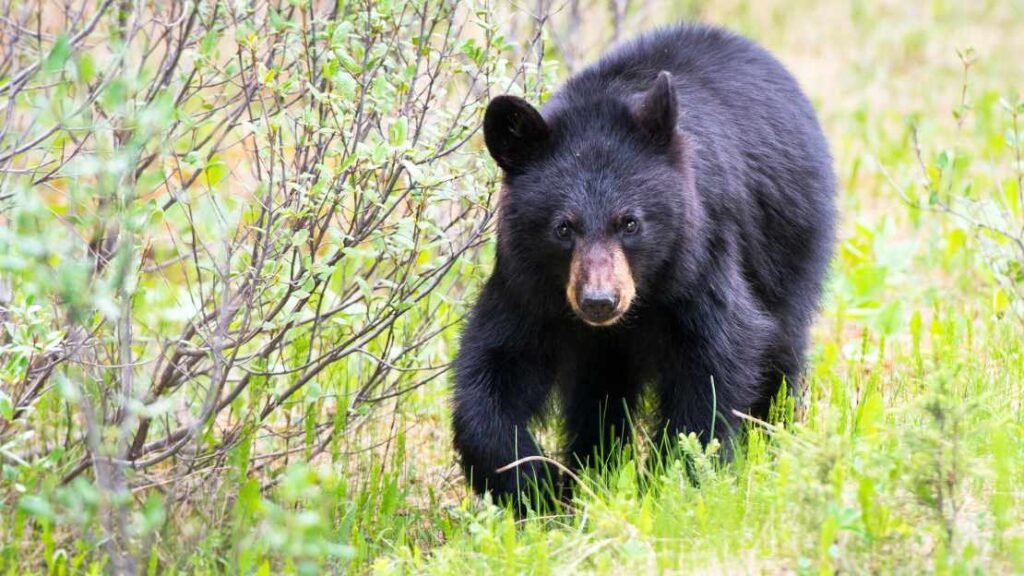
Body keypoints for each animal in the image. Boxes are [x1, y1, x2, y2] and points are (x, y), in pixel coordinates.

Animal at [452, 23, 836, 510]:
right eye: (563, 228)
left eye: (630, 222)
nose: (599, 301)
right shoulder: (529, 283)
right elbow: (498, 364)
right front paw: (535, 483)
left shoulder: (699, 257)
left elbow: (714, 358)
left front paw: (677, 479)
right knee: (597, 393)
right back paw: (591, 468)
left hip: (788, 246)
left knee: (781, 348)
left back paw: (770, 441)